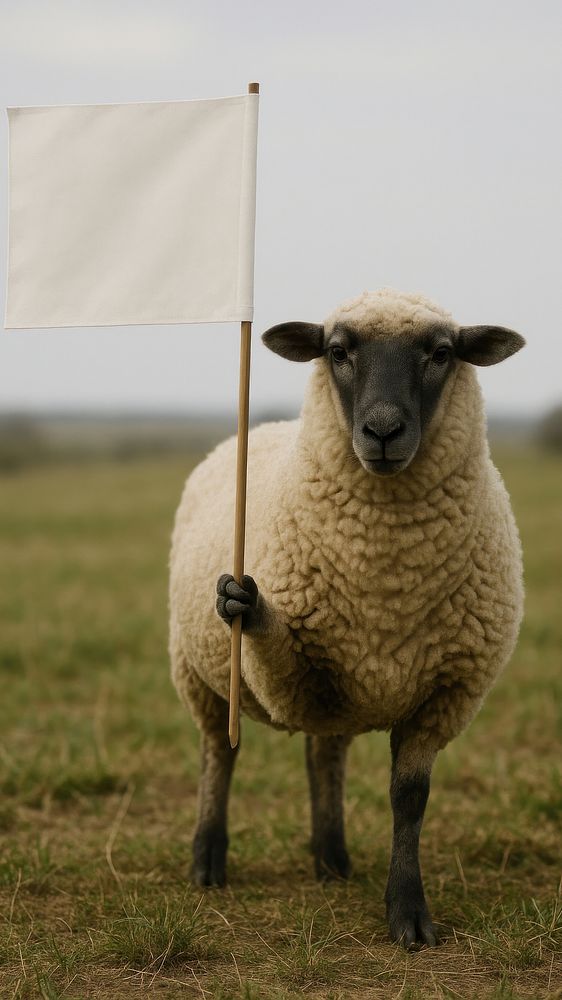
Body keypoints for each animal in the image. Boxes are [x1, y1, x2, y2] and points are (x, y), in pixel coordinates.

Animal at [169, 288, 525, 948]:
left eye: (442, 353)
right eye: (337, 351)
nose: (383, 431)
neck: (386, 582)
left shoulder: (444, 692)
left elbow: (409, 798)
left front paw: (408, 913)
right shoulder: (290, 668)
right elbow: (266, 643)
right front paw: (247, 604)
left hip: (335, 692)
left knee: (324, 757)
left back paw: (331, 859)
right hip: (201, 672)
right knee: (217, 754)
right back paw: (207, 860)